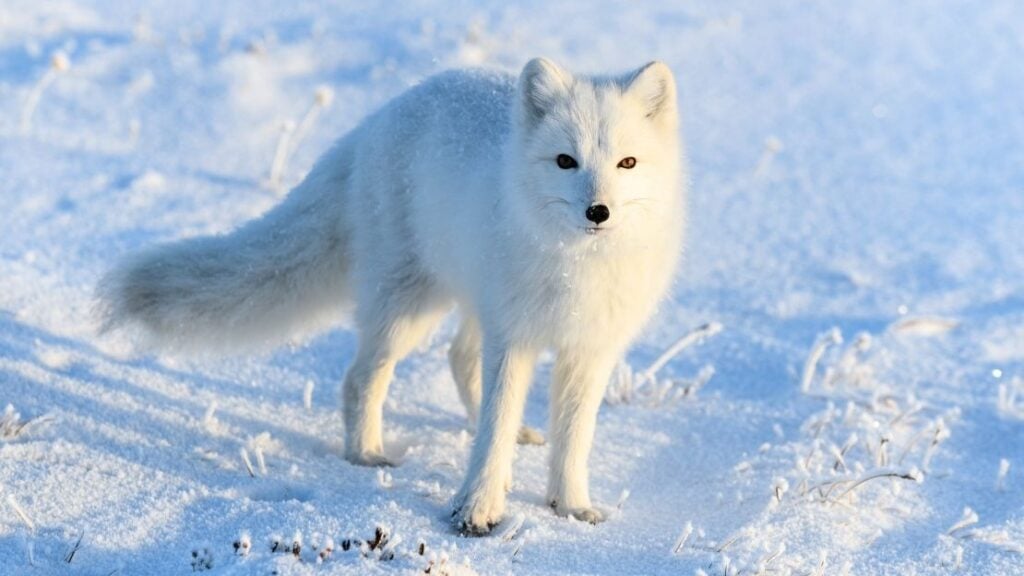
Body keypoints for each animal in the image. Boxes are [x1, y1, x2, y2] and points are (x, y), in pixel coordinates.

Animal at [97, 57, 686, 534]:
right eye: (566, 161)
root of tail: (376, 120)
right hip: (407, 308)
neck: (577, 270)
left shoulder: (591, 349)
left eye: (627, 163)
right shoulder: (514, 337)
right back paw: (366, 455)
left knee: (458, 357)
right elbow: (492, 431)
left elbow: (574, 437)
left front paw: (571, 508)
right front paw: (477, 509)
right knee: (362, 378)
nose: (598, 212)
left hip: (467, 299)